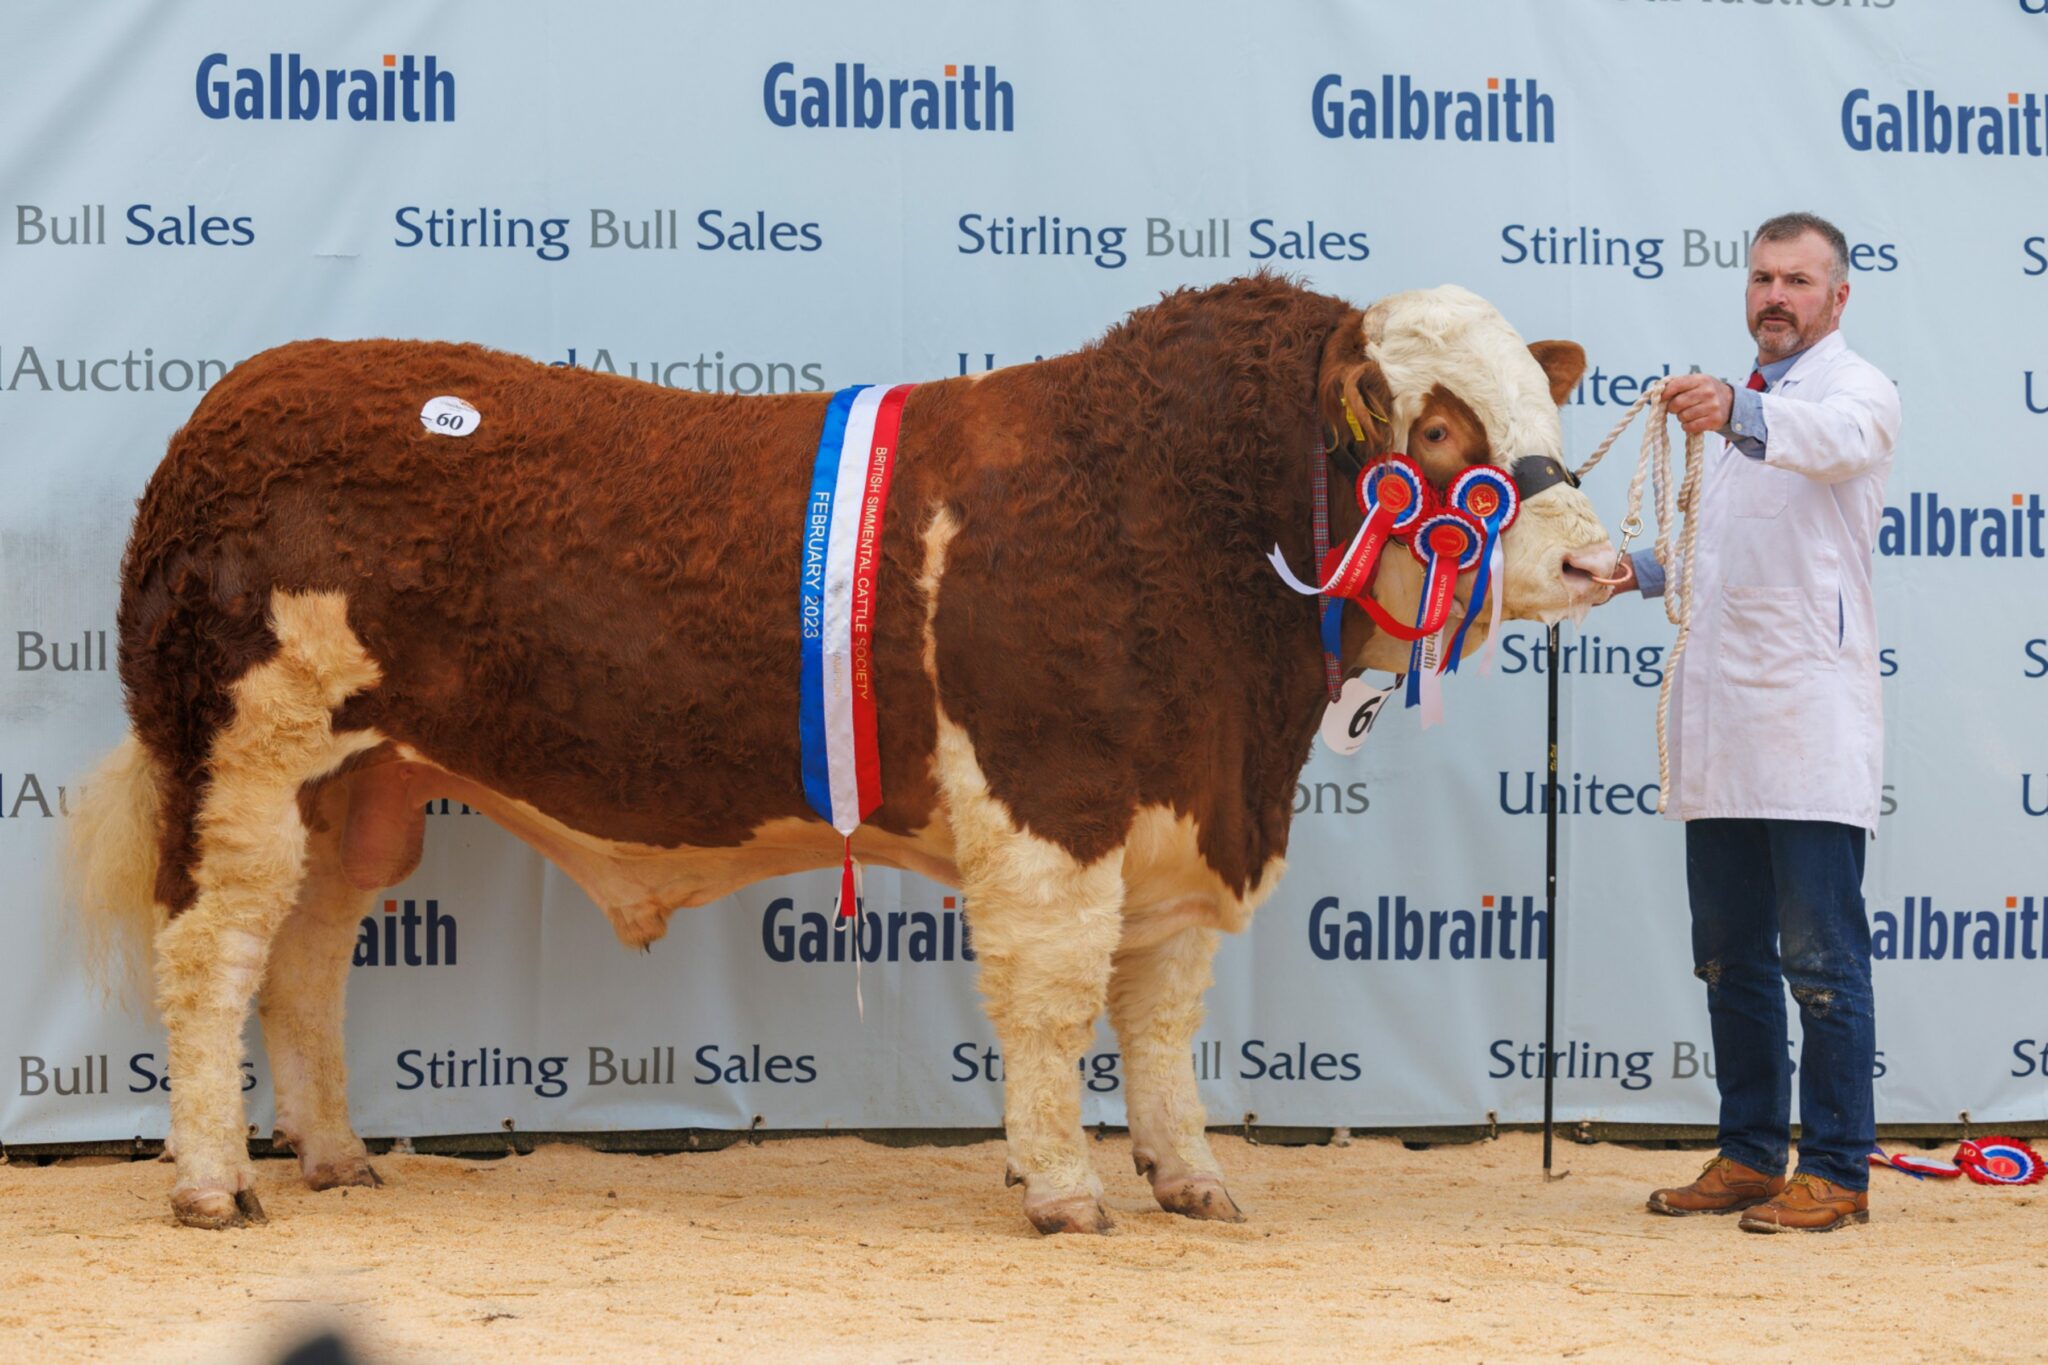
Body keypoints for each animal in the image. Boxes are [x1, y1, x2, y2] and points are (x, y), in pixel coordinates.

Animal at [67, 275, 1615, 1234]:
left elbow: (1162, 1017)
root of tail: (233, 404)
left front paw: (1191, 1181)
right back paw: (211, 1184)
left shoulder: (1183, 819)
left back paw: (332, 1158)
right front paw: (1063, 1189)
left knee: (305, 955)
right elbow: (1055, 1000)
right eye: (1437, 431)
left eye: (1546, 419)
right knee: (210, 954)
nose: (1599, 563)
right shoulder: (1051, 803)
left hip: (356, 789)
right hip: (238, 760)